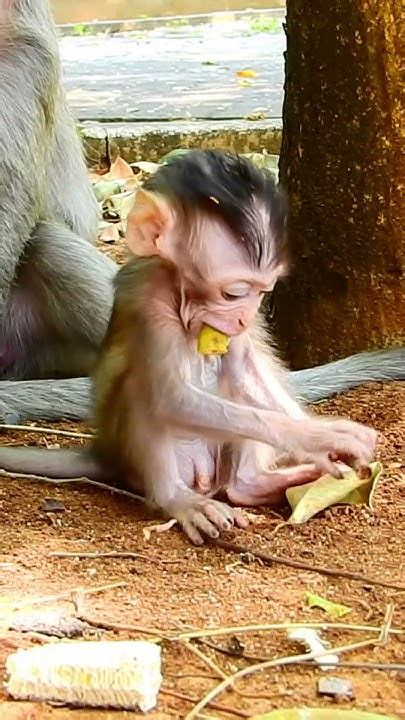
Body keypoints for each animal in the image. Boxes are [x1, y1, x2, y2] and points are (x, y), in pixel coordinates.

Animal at [0, 150, 389, 545]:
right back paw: (177, 498)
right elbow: (170, 396)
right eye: (233, 293)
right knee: (145, 392)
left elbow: (245, 374)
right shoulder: (150, 304)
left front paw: (326, 432)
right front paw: (314, 438)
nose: (244, 320)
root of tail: (103, 452)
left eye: (262, 292)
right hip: (141, 459)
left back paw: (254, 483)